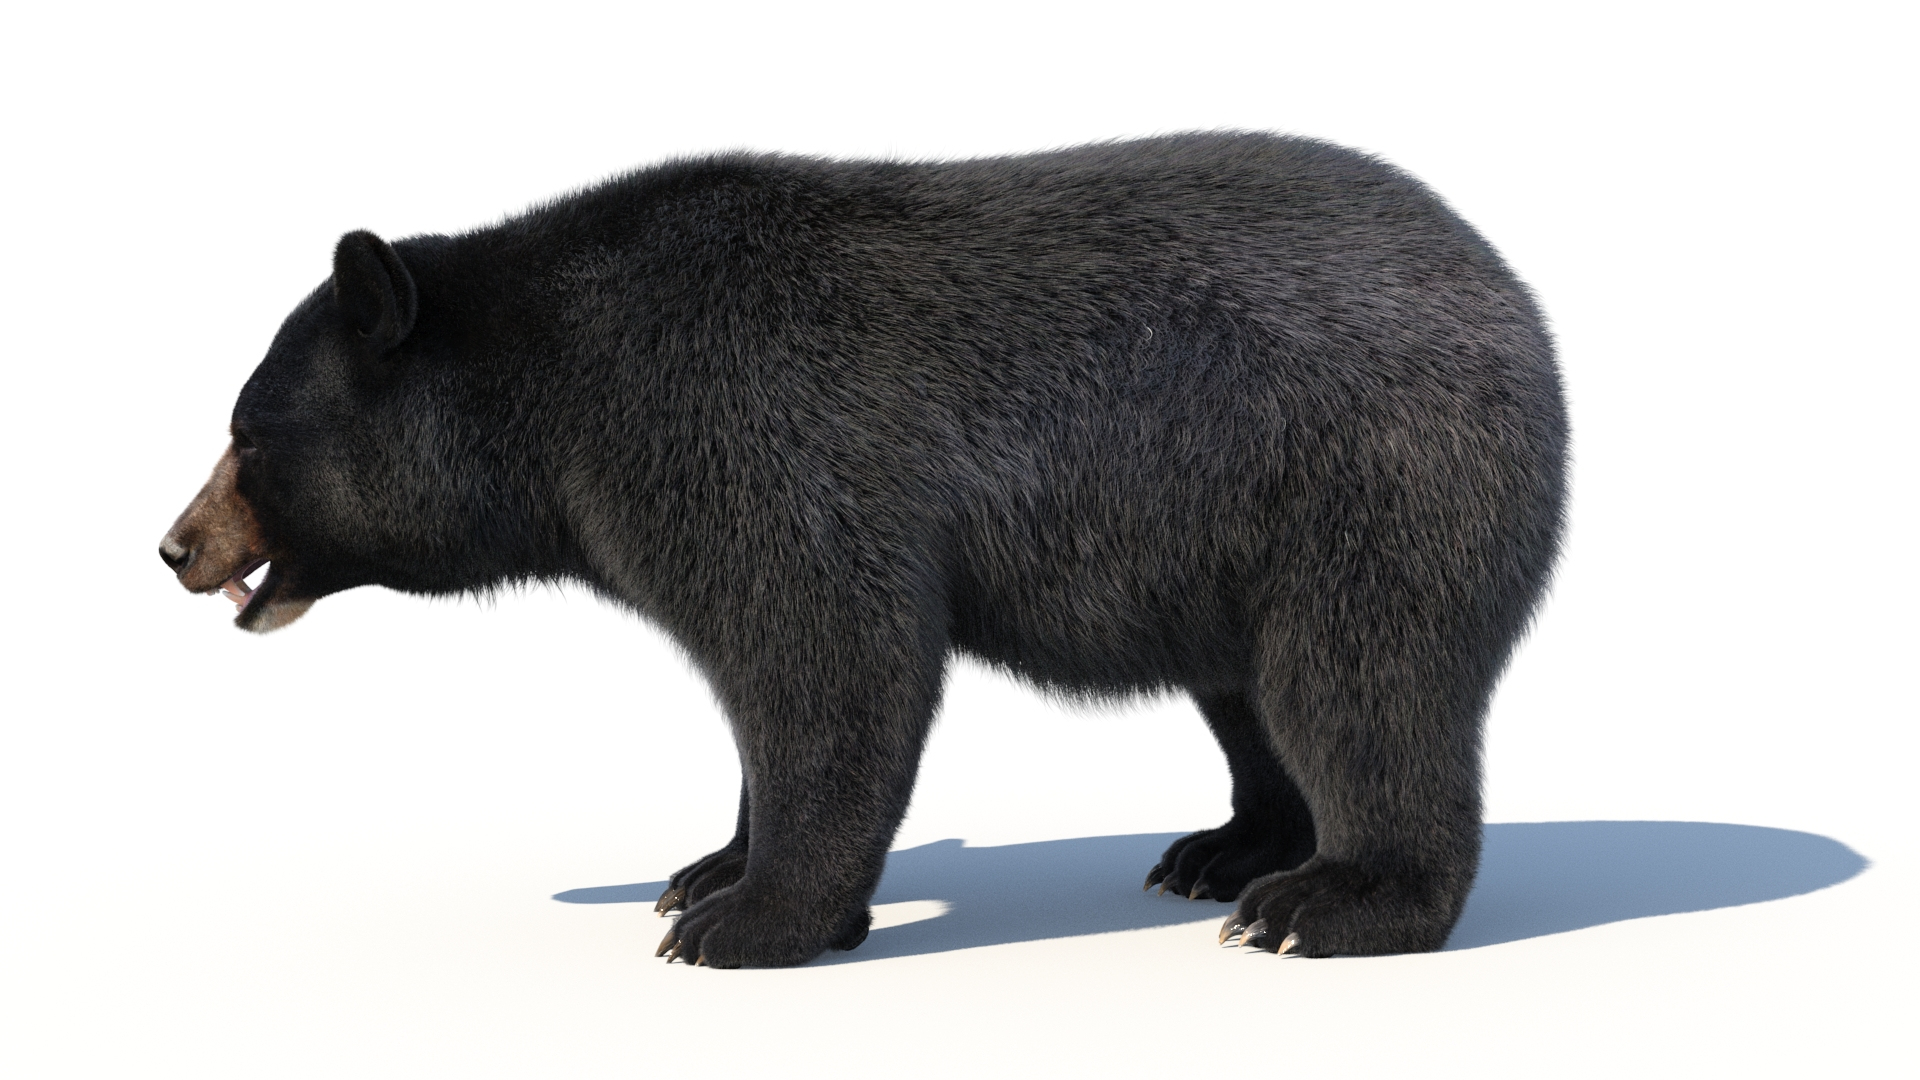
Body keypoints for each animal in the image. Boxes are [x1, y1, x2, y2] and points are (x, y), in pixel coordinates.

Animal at [160, 132, 1567, 968]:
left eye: (247, 432)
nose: (173, 546)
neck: (555, 394)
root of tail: (1512, 293)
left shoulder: (740, 427)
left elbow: (830, 655)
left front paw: (745, 920)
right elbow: (768, 685)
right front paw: (707, 866)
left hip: (1374, 477)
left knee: (1361, 680)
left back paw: (1331, 899)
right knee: (1254, 692)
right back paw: (1230, 849)